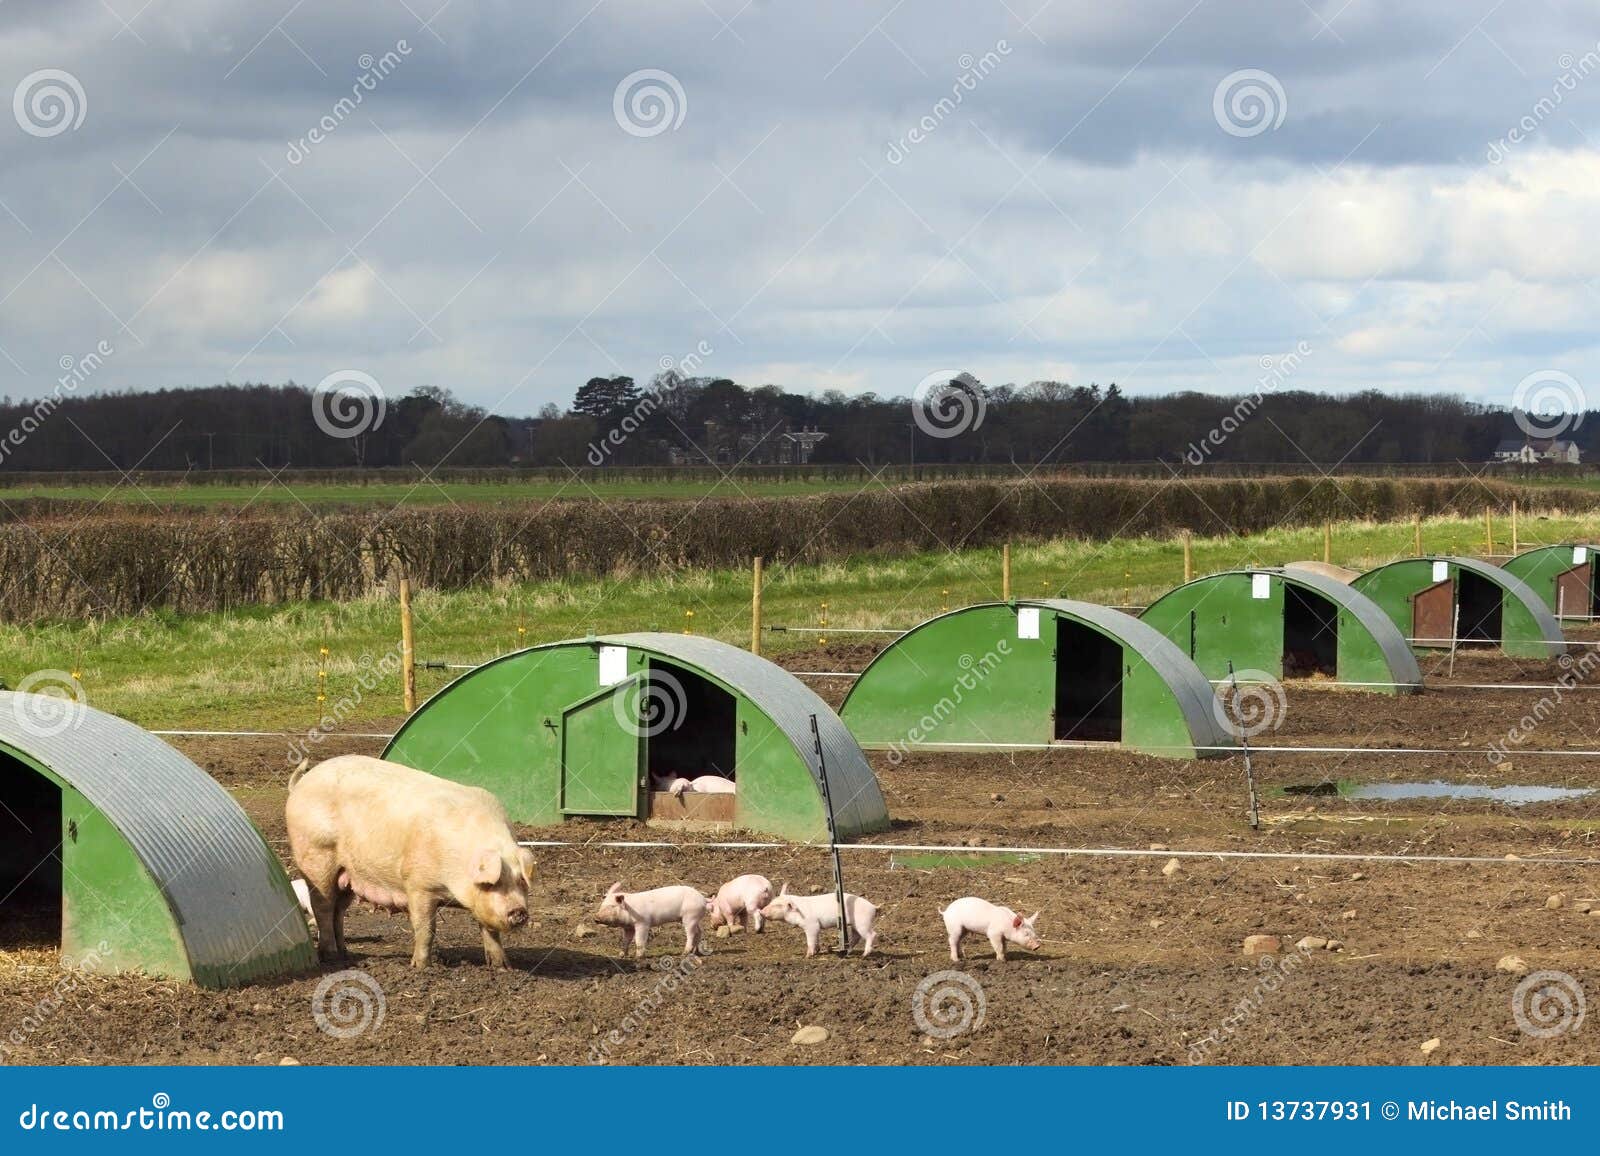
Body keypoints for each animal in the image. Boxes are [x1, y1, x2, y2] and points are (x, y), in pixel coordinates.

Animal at [285, 755, 537, 969]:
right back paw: (331, 957)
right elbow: (426, 928)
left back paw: (343, 953)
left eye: (521, 881)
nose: (519, 911)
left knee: (338, 910)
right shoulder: (418, 884)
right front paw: (421, 967)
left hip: (346, 874)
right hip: (316, 857)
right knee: (323, 907)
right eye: (492, 883)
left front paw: (502, 968)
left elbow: (490, 931)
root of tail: (301, 784)